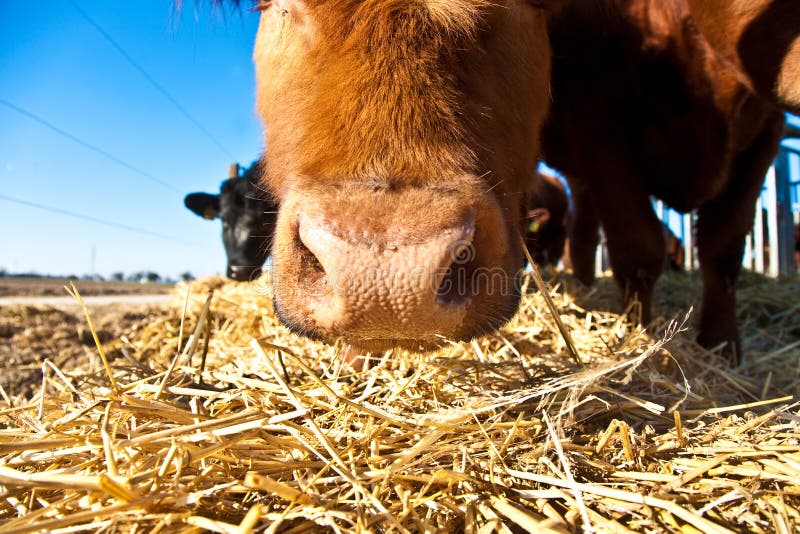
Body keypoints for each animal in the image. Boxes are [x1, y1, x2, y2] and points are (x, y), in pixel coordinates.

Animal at [541, 0, 786, 362]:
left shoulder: (765, 137)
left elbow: (724, 250)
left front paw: (722, 346)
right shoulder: (602, 133)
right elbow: (639, 249)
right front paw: (640, 337)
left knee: (582, 231)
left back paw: (584, 290)